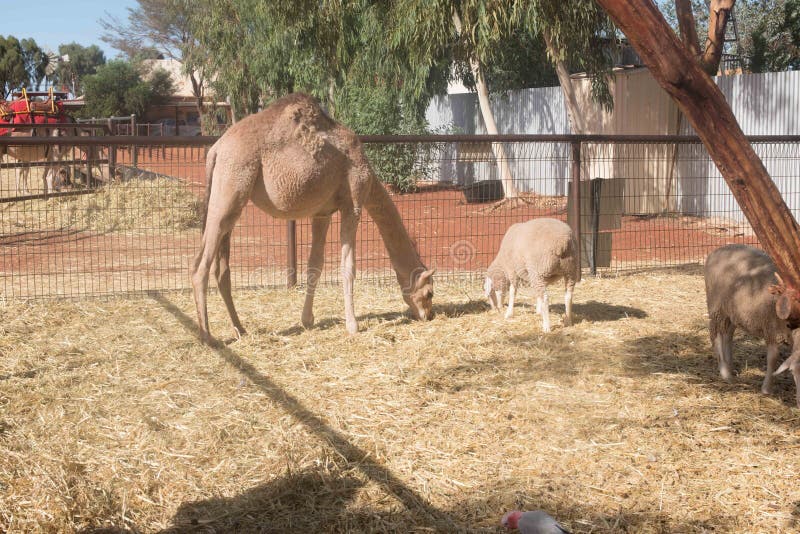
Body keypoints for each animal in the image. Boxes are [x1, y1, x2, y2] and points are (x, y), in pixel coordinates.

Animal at [191, 93, 435, 343]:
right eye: (429, 293)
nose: (429, 315)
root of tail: (215, 150)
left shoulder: (322, 213)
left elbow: (314, 265)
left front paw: (307, 320)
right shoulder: (353, 203)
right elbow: (348, 266)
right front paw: (352, 326)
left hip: (231, 197)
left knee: (222, 269)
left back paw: (240, 329)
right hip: (231, 186)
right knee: (200, 266)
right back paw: (207, 336)